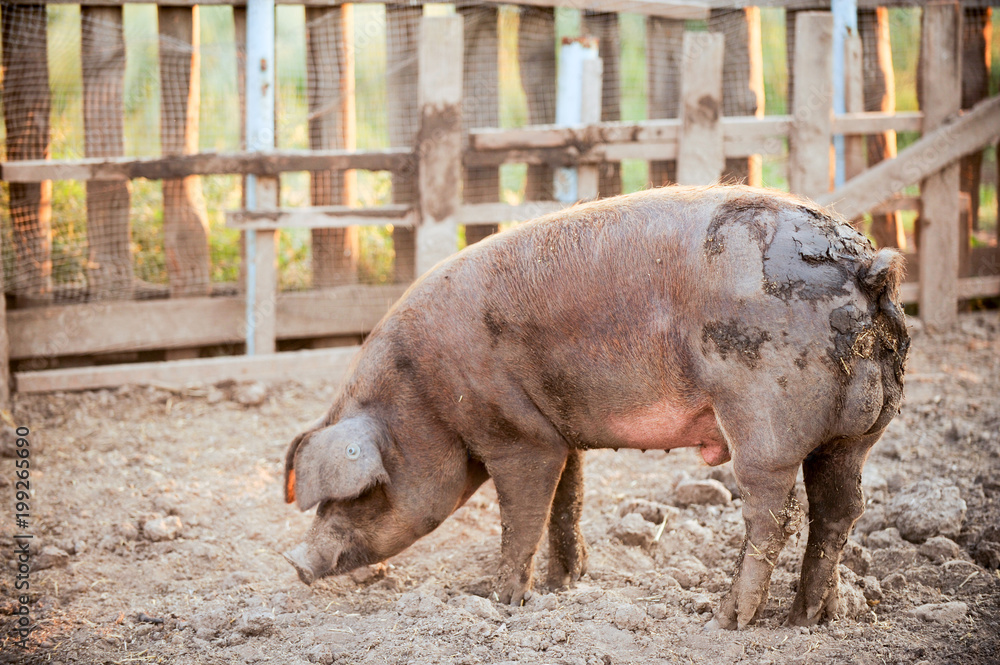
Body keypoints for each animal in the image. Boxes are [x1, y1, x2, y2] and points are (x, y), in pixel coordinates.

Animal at [282, 185, 909, 630]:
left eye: (361, 495)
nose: (295, 562)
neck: (427, 400)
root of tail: (869, 273)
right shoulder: (557, 433)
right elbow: (568, 501)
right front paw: (565, 585)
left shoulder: (518, 438)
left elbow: (521, 517)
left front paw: (500, 600)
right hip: (855, 435)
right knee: (840, 508)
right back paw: (810, 619)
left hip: (762, 419)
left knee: (774, 514)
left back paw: (726, 621)